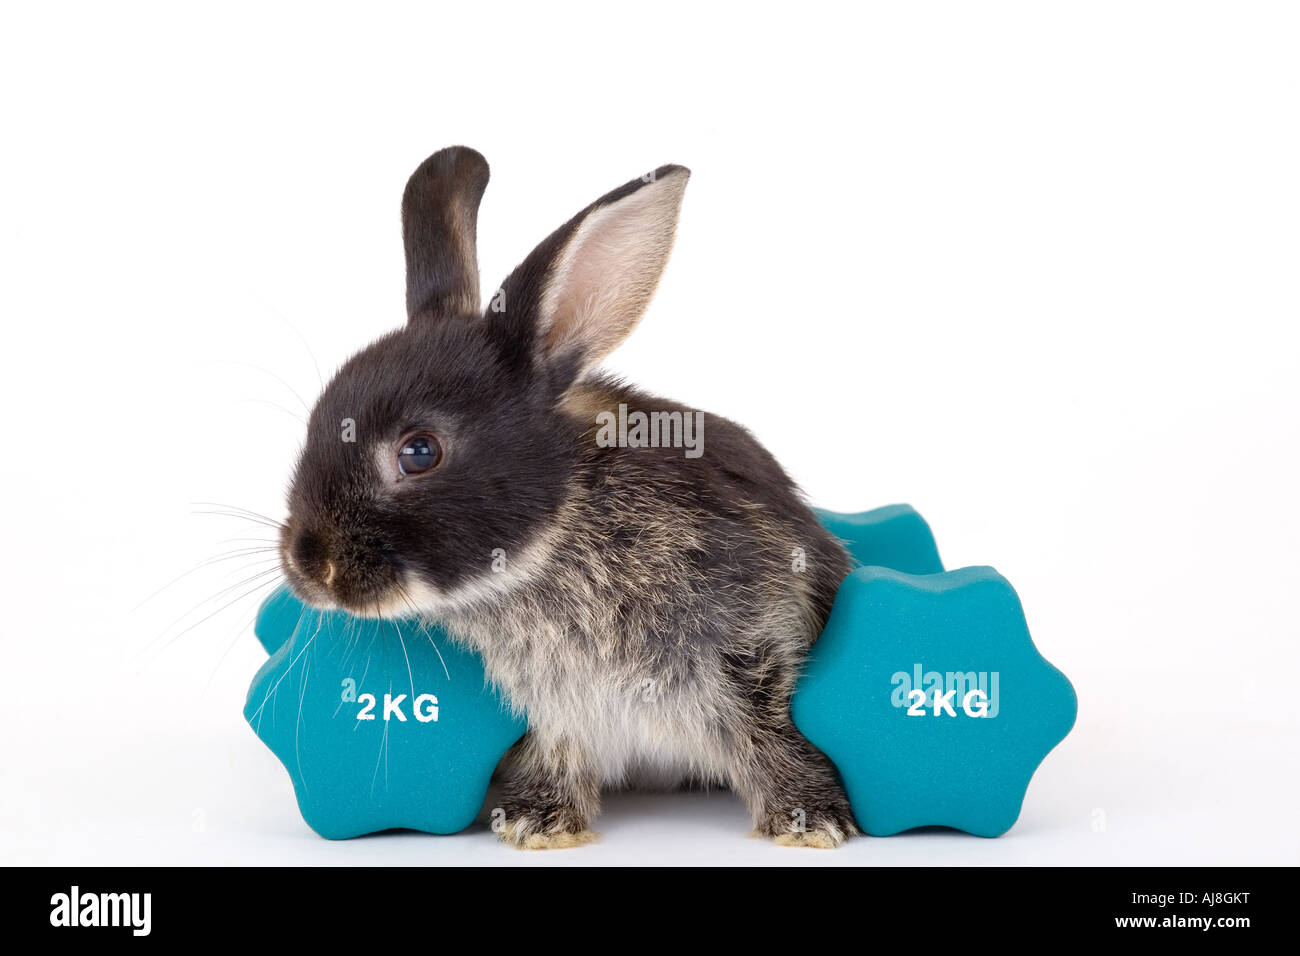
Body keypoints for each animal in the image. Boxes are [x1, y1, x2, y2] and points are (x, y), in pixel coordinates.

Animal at [279, 146, 857, 848]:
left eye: (418, 452)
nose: (311, 566)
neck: (558, 537)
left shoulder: (758, 650)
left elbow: (770, 734)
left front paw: (811, 822)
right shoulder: (555, 714)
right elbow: (558, 756)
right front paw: (539, 825)